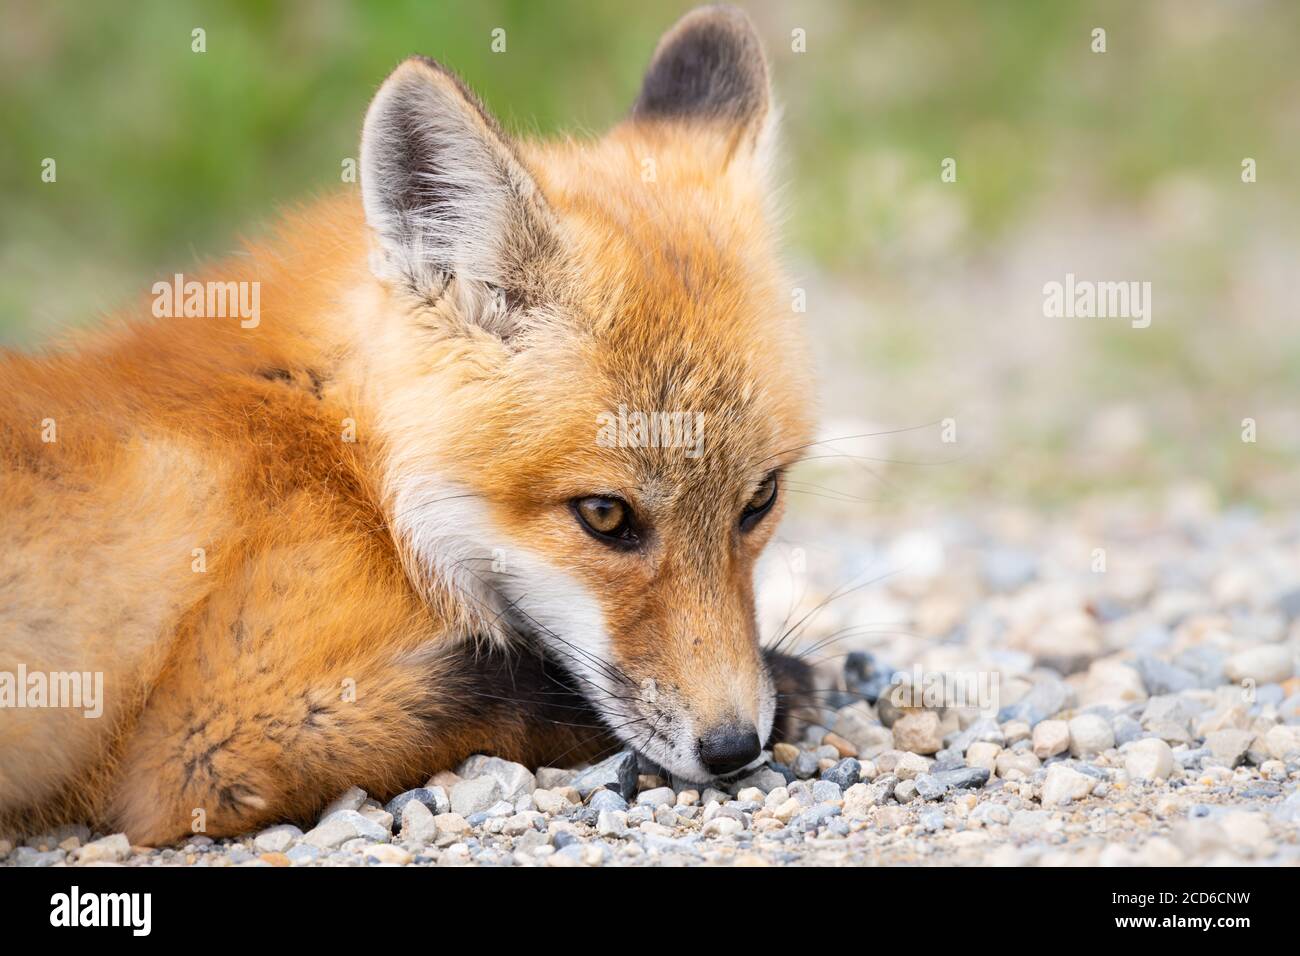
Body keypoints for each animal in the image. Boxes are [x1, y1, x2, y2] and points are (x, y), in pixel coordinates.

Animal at [0, 5, 817, 845]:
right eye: (603, 515)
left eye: (760, 501)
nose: (733, 747)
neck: (353, 468)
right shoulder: (211, 737)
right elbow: (515, 682)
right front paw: (796, 679)